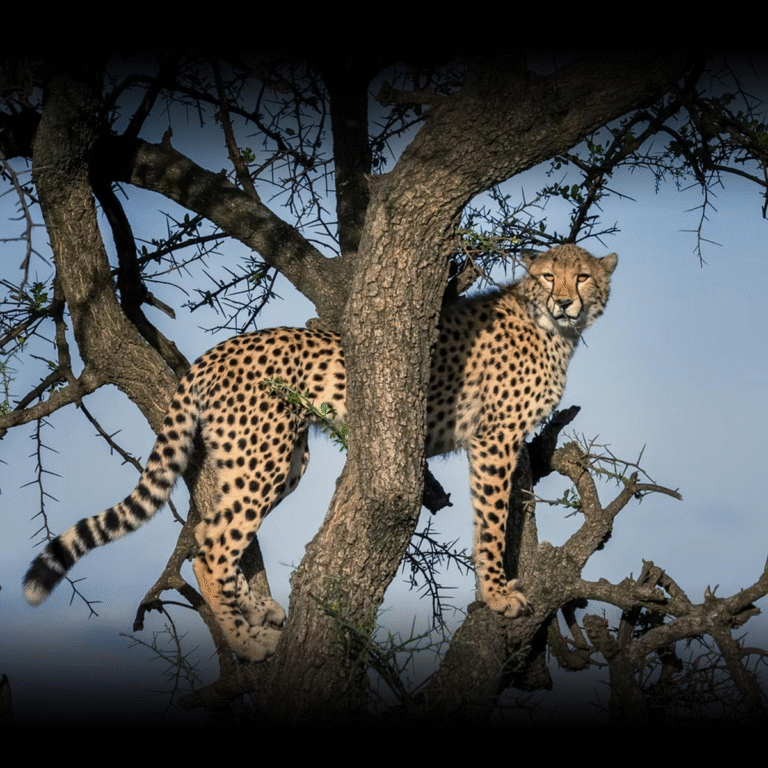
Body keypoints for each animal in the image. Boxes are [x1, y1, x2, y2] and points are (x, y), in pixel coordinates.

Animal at [24, 244, 617, 662]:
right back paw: (247, 642)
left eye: (583, 276)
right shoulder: (493, 438)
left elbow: (512, 509)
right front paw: (496, 595)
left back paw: (256, 609)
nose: (565, 300)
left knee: (213, 530)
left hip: (281, 461)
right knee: (210, 545)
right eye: (548, 276)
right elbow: (490, 522)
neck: (550, 327)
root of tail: (220, 348)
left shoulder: (505, 440)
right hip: (262, 457)